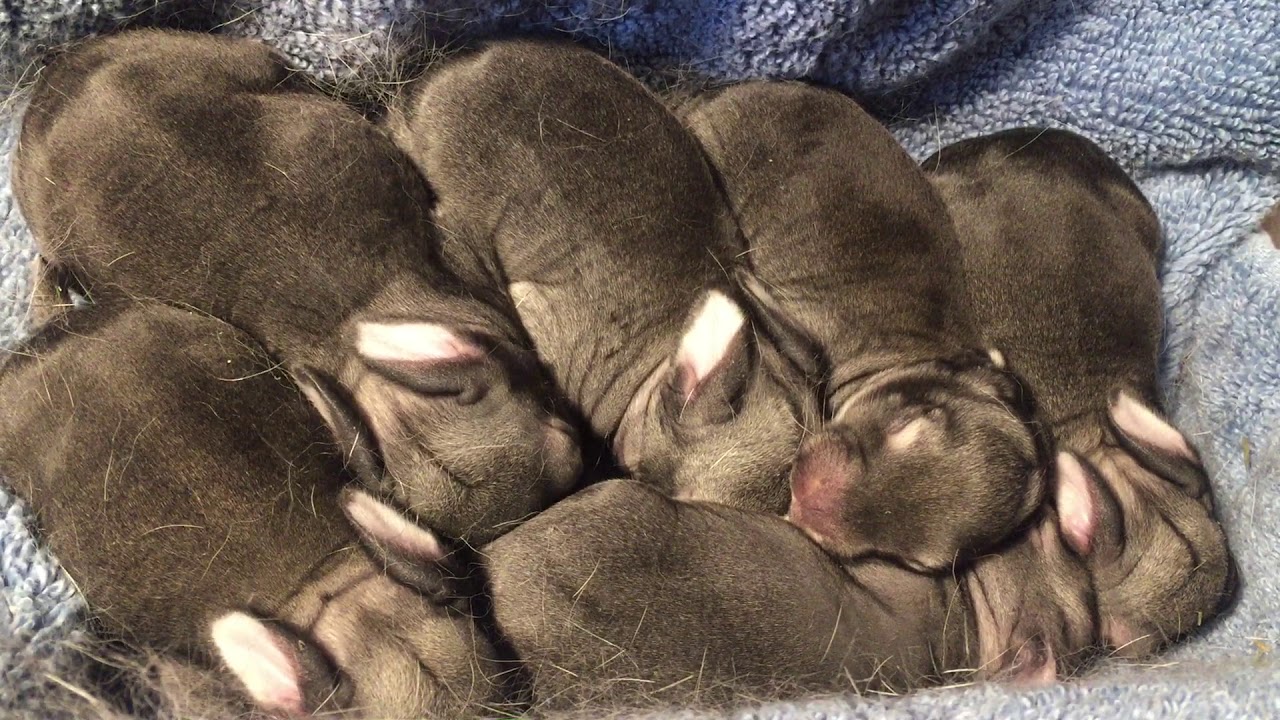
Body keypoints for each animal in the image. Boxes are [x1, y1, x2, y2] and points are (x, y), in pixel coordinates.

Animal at [675, 80, 1050, 572]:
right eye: (912, 419)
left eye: (916, 563)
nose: (808, 502)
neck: (906, 353)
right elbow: (810, 352)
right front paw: (746, 281)